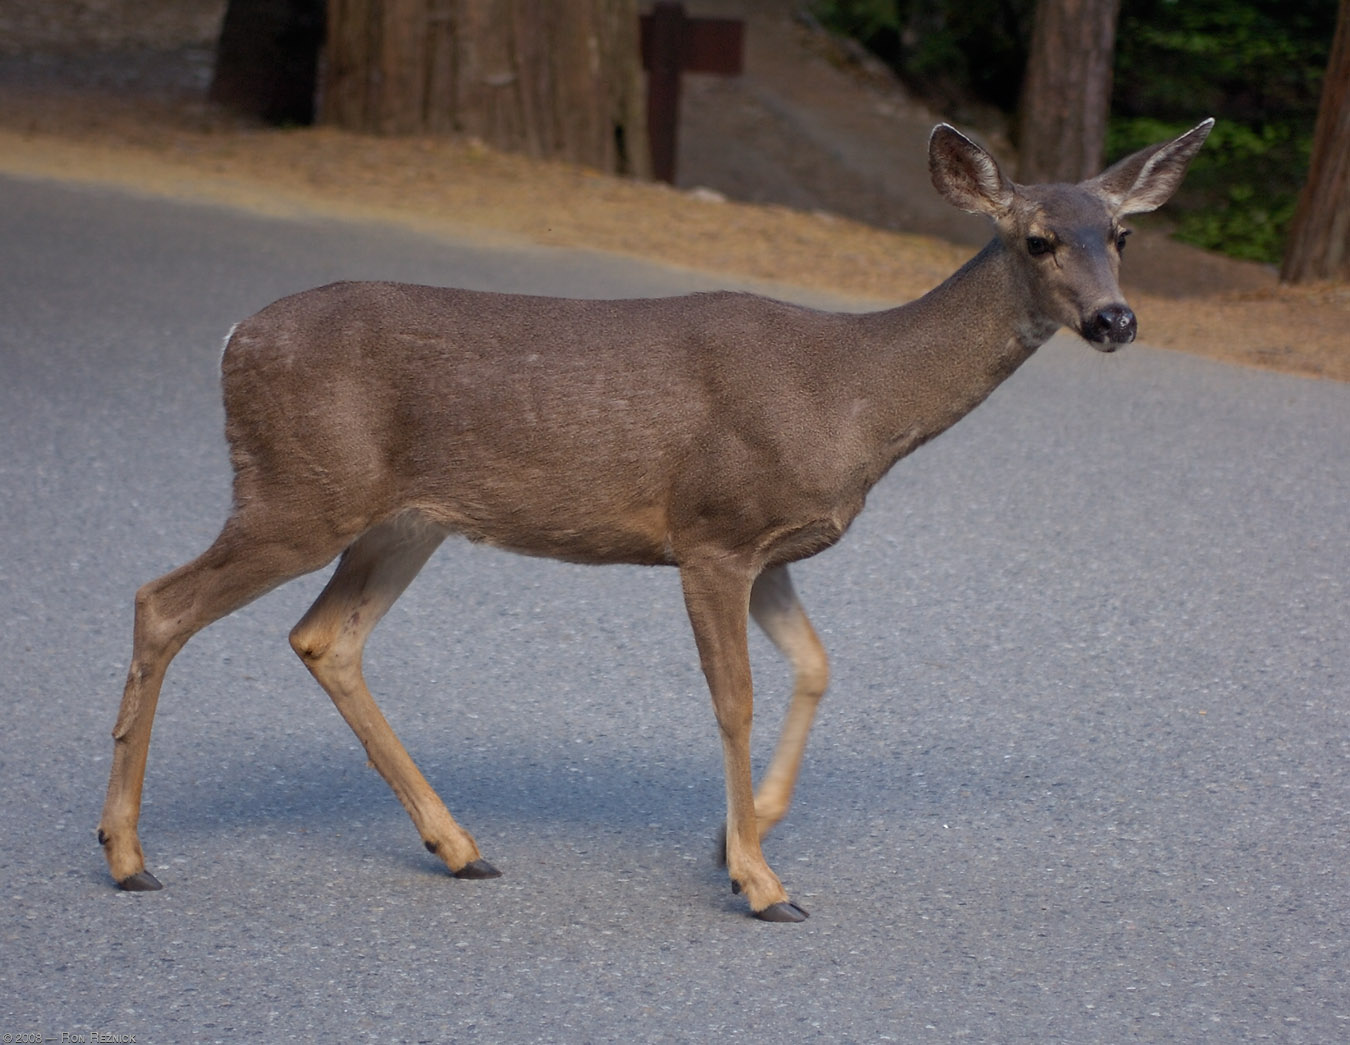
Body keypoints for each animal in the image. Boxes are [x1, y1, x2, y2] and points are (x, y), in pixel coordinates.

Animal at [97, 119, 1212, 921]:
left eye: (1122, 235)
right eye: (1037, 238)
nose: (1116, 319)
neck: (851, 397)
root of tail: (232, 339)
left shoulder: (773, 547)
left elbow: (817, 665)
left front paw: (737, 839)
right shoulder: (712, 531)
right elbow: (737, 698)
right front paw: (762, 882)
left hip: (402, 518)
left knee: (325, 635)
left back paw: (459, 847)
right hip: (298, 489)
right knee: (162, 599)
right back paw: (128, 855)